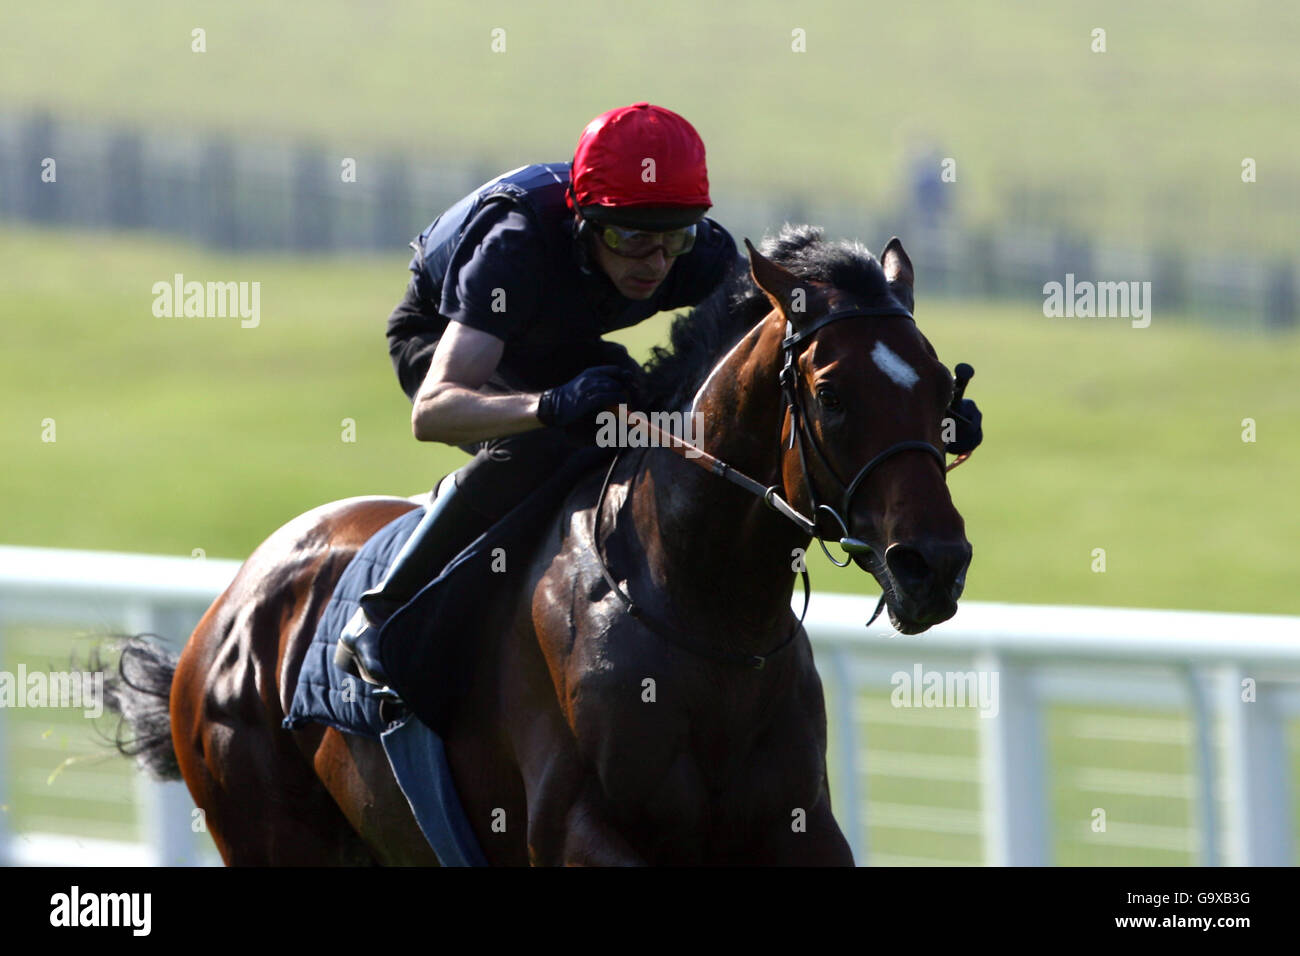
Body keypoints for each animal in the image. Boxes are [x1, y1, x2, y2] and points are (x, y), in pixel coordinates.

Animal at [106, 225, 972, 865]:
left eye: (943, 385)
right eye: (831, 394)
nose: (934, 564)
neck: (703, 612)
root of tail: (227, 608)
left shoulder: (800, 829)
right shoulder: (575, 834)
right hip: (266, 830)